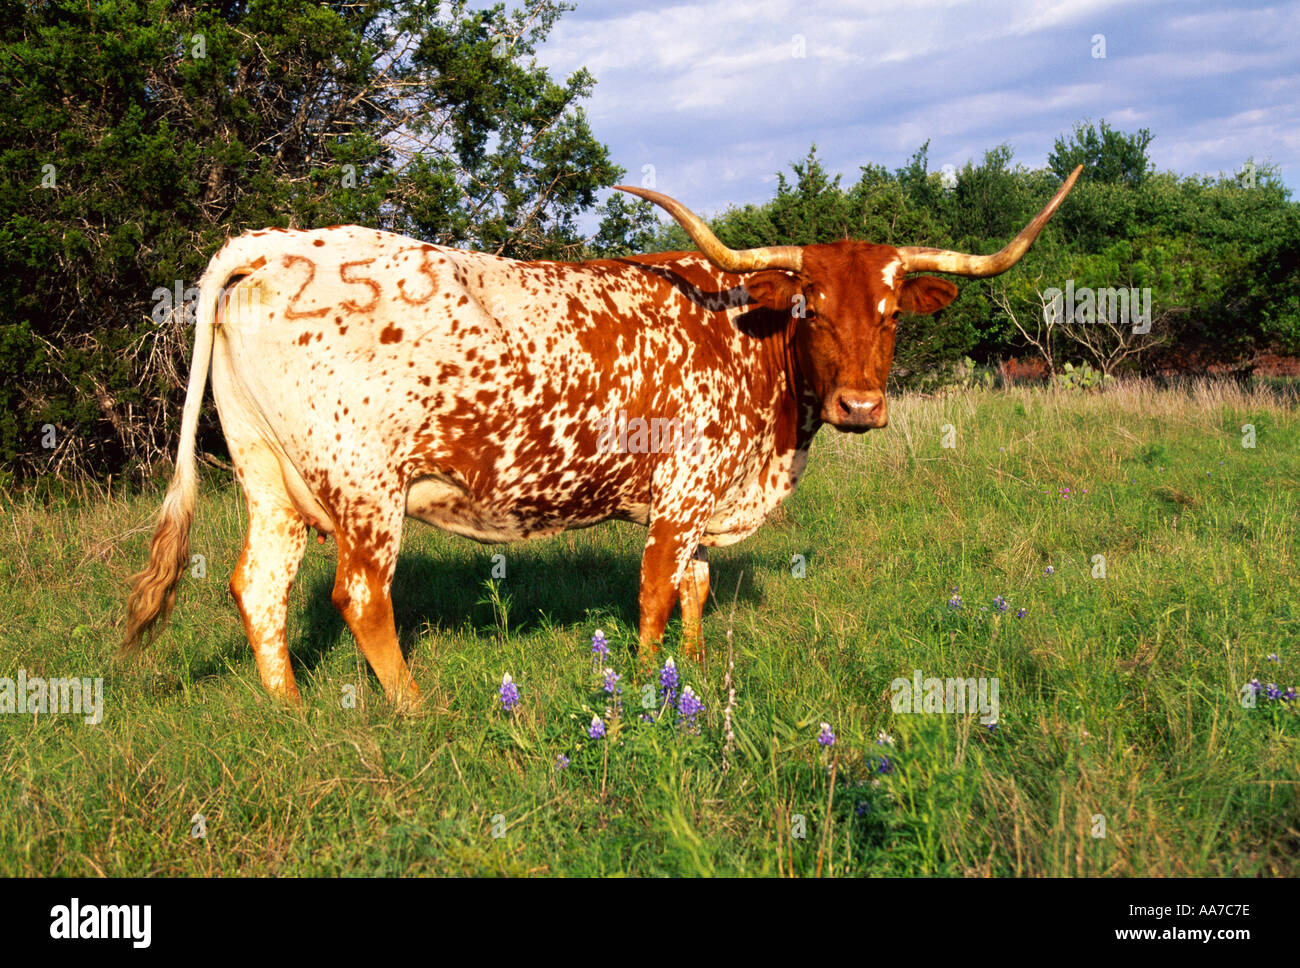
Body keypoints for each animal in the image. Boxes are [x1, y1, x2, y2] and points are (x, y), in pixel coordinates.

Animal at [123, 165, 1082, 708]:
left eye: (889, 311)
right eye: (810, 306)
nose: (859, 406)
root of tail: (271, 243)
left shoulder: (703, 505)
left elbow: (697, 589)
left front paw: (691, 669)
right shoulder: (681, 495)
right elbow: (657, 593)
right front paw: (656, 685)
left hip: (269, 477)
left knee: (259, 588)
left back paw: (288, 710)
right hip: (364, 484)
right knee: (359, 595)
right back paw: (416, 711)